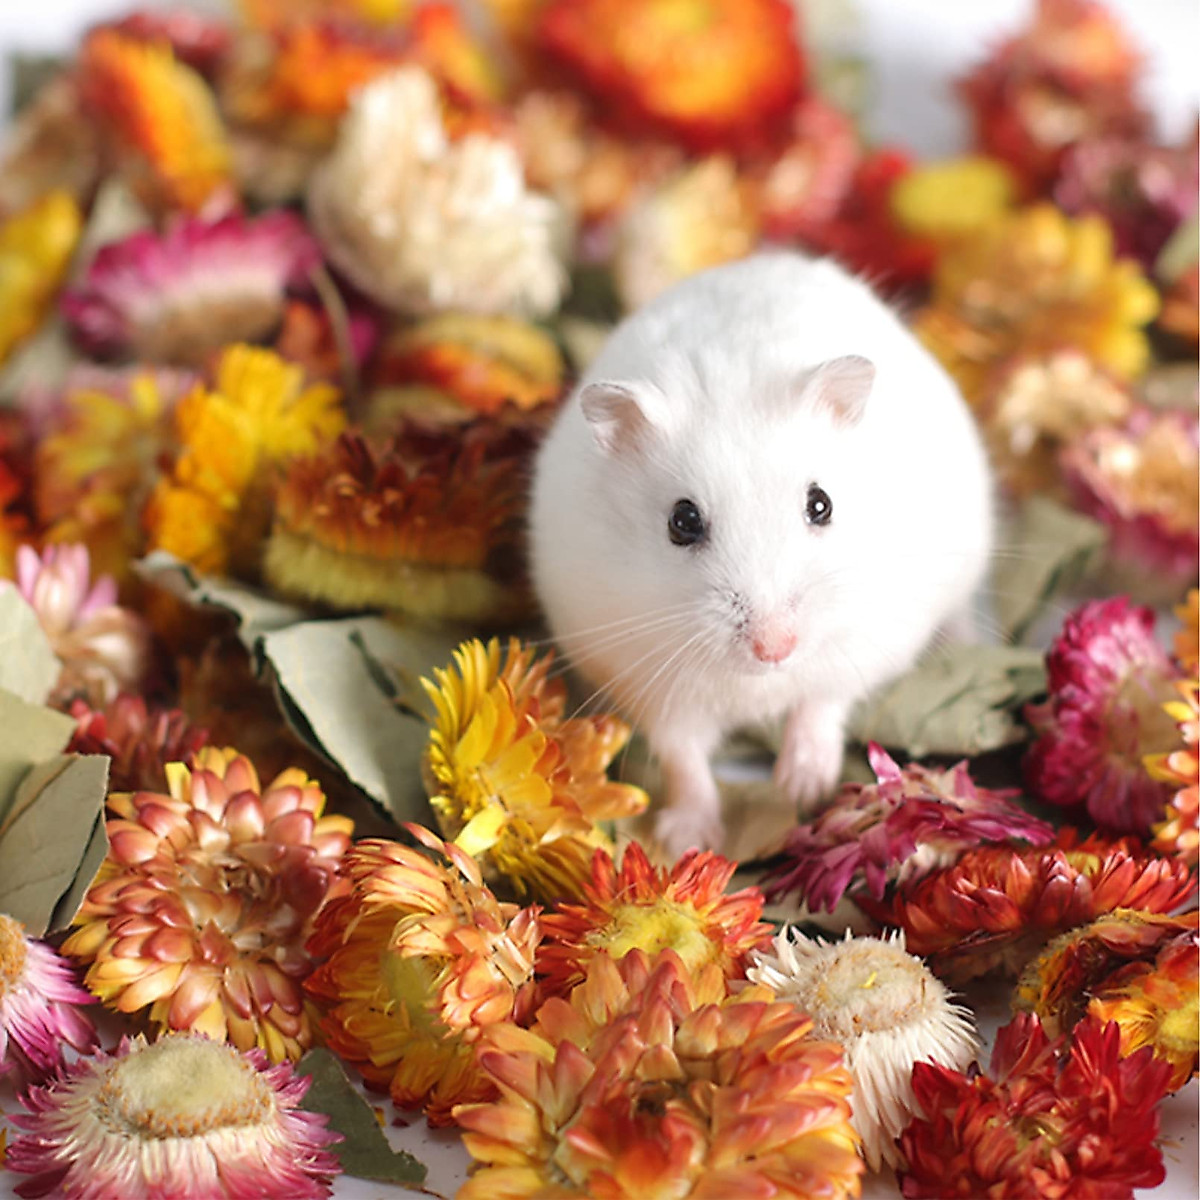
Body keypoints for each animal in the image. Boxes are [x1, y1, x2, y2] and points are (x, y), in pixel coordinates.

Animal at [529, 253, 993, 858]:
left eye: (821, 504)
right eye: (682, 521)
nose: (775, 648)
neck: (757, 684)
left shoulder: (863, 642)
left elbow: (822, 703)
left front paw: (803, 786)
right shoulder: (650, 680)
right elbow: (683, 759)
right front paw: (688, 841)